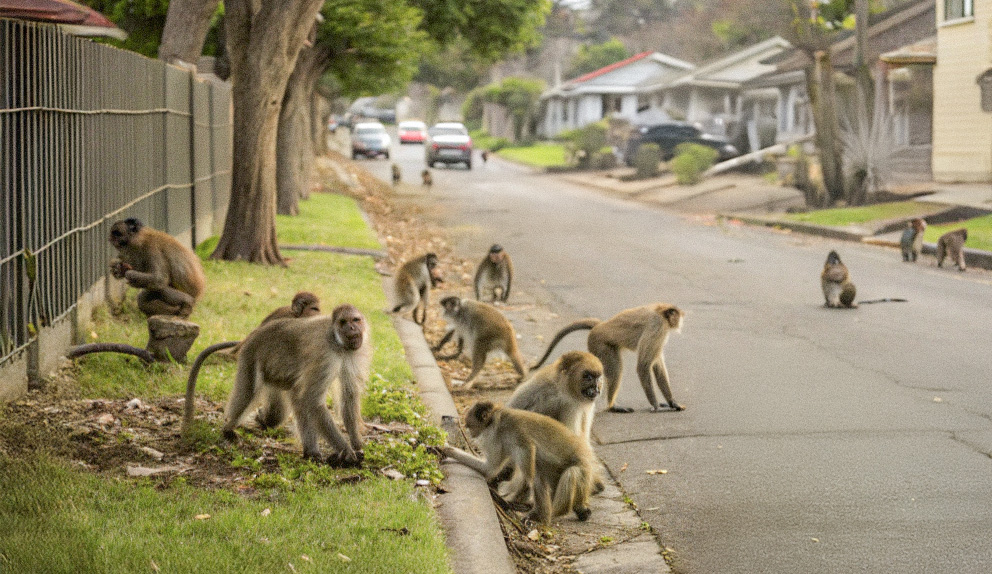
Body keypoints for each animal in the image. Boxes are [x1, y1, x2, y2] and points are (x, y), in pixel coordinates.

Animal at [182, 304, 371, 466]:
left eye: (355, 320)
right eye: (343, 322)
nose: (351, 328)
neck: (339, 345)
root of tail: (253, 334)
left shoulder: (353, 354)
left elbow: (348, 397)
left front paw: (356, 444)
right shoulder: (325, 356)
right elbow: (312, 400)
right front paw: (347, 451)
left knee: (290, 400)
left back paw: (304, 448)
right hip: (251, 356)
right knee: (250, 393)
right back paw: (228, 429)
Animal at [442, 401, 595, 524]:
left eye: (469, 426)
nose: (470, 433)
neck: (495, 419)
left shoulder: (500, 432)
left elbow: (528, 450)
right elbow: (489, 469)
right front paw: (448, 450)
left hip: (584, 470)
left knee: (563, 473)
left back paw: (546, 516)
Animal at [532, 304, 685, 413]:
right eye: (677, 315)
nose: (680, 320)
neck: (660, 312)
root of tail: (600, 325)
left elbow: (656, 365)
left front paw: (672, 402)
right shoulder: (656, 326)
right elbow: (643, 366)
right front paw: (655, 405)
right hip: (599, 344)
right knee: (616, 370)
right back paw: (612, 406)